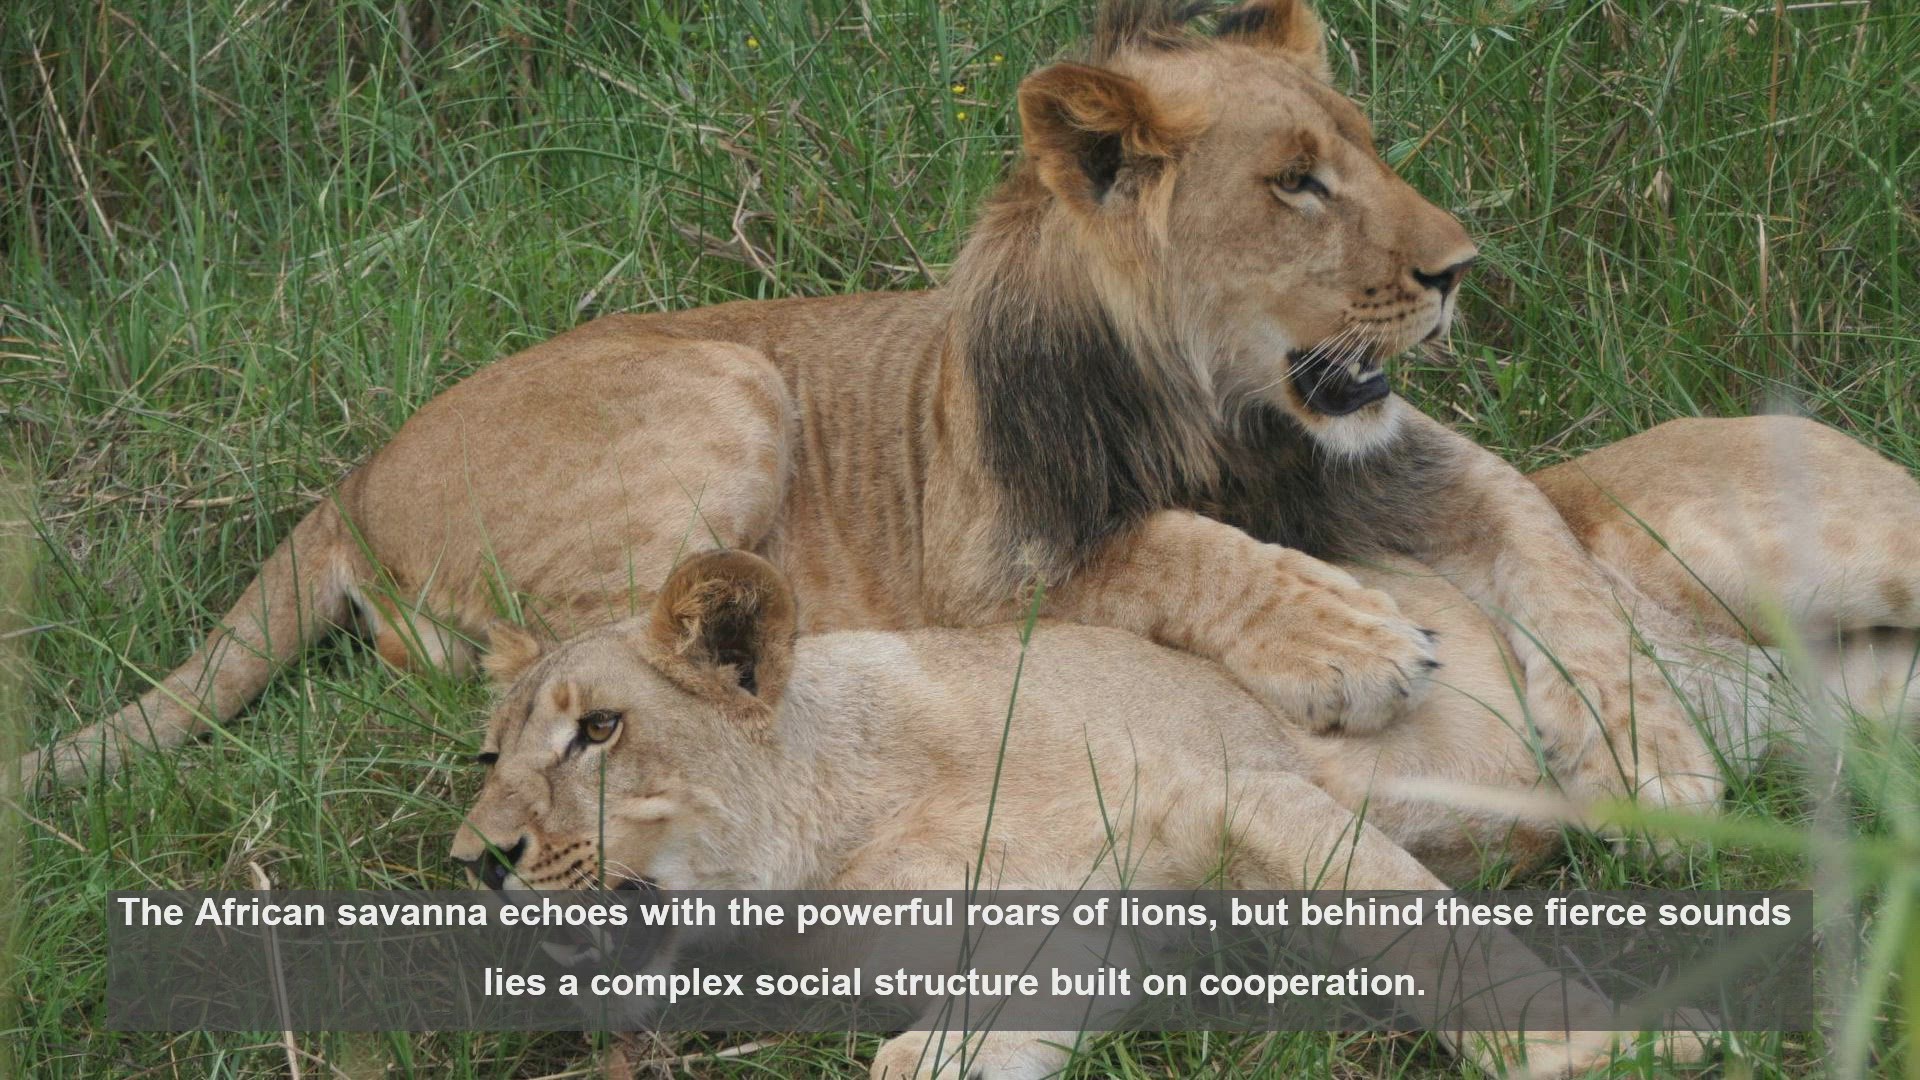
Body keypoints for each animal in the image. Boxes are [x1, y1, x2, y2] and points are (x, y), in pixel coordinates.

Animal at [28, 0, 1920, 817]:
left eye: (1372, 154)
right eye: (1298, 183)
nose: (1459, 269)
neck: (1237, 414)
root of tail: (352, 472)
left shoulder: (1422, 468)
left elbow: (1563, 573)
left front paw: (1652, 750)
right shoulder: (983, 567)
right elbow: (1163, 546)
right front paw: (1346, 643)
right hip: (721, 382)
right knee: (540, 659)